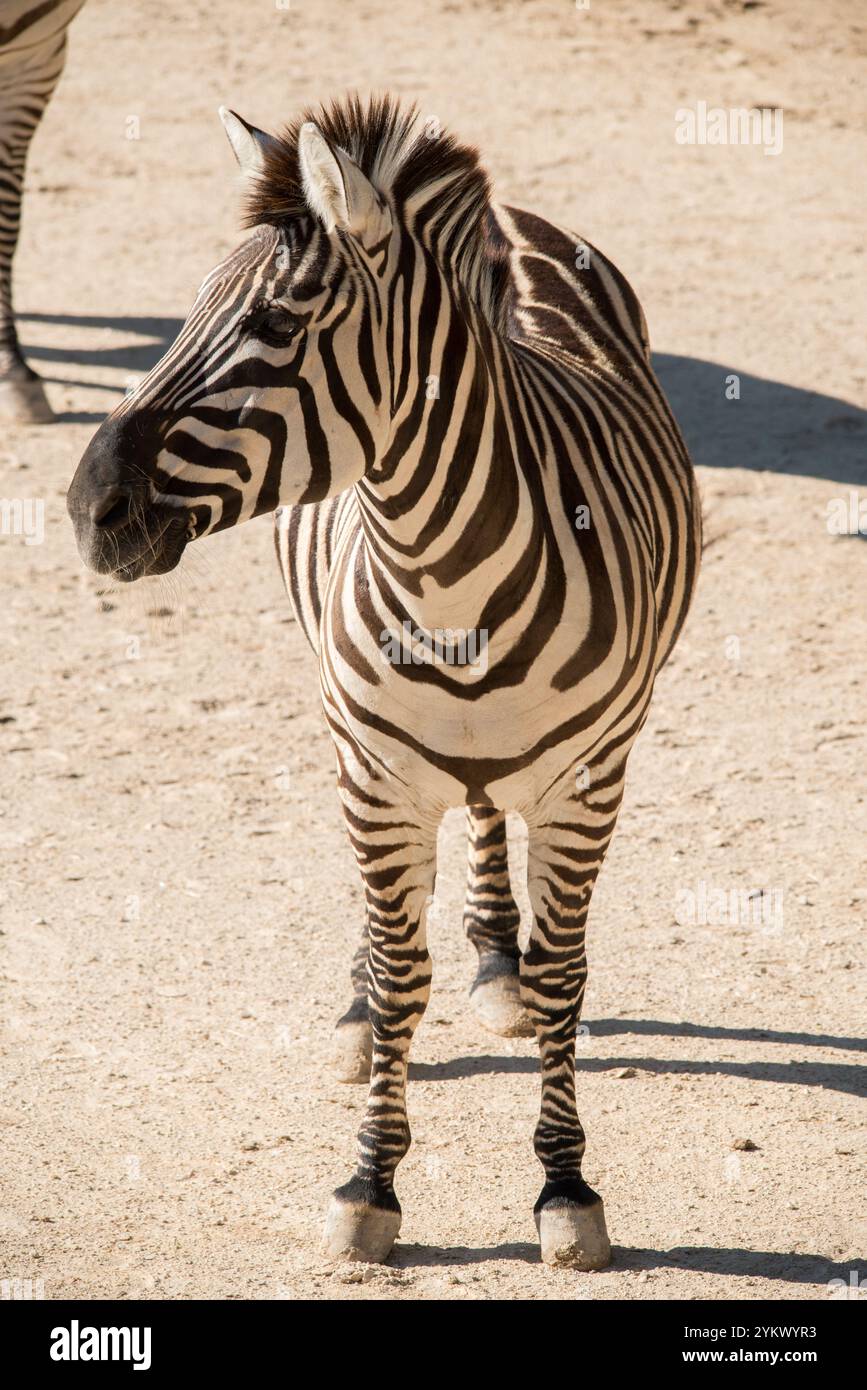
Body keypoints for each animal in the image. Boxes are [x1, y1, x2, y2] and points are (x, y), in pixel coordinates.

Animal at [67, 95, 702, 1268]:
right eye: (183, 313)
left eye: (277, 325)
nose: (88, 509)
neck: (450, 580)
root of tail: (512, 223)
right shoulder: (373, 772)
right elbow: (402, 975)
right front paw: (370, 1182)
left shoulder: (588, 782)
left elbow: (563, 980)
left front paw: (565, 1186)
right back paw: (367, 1002)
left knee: (489, 826)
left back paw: (494, 961)